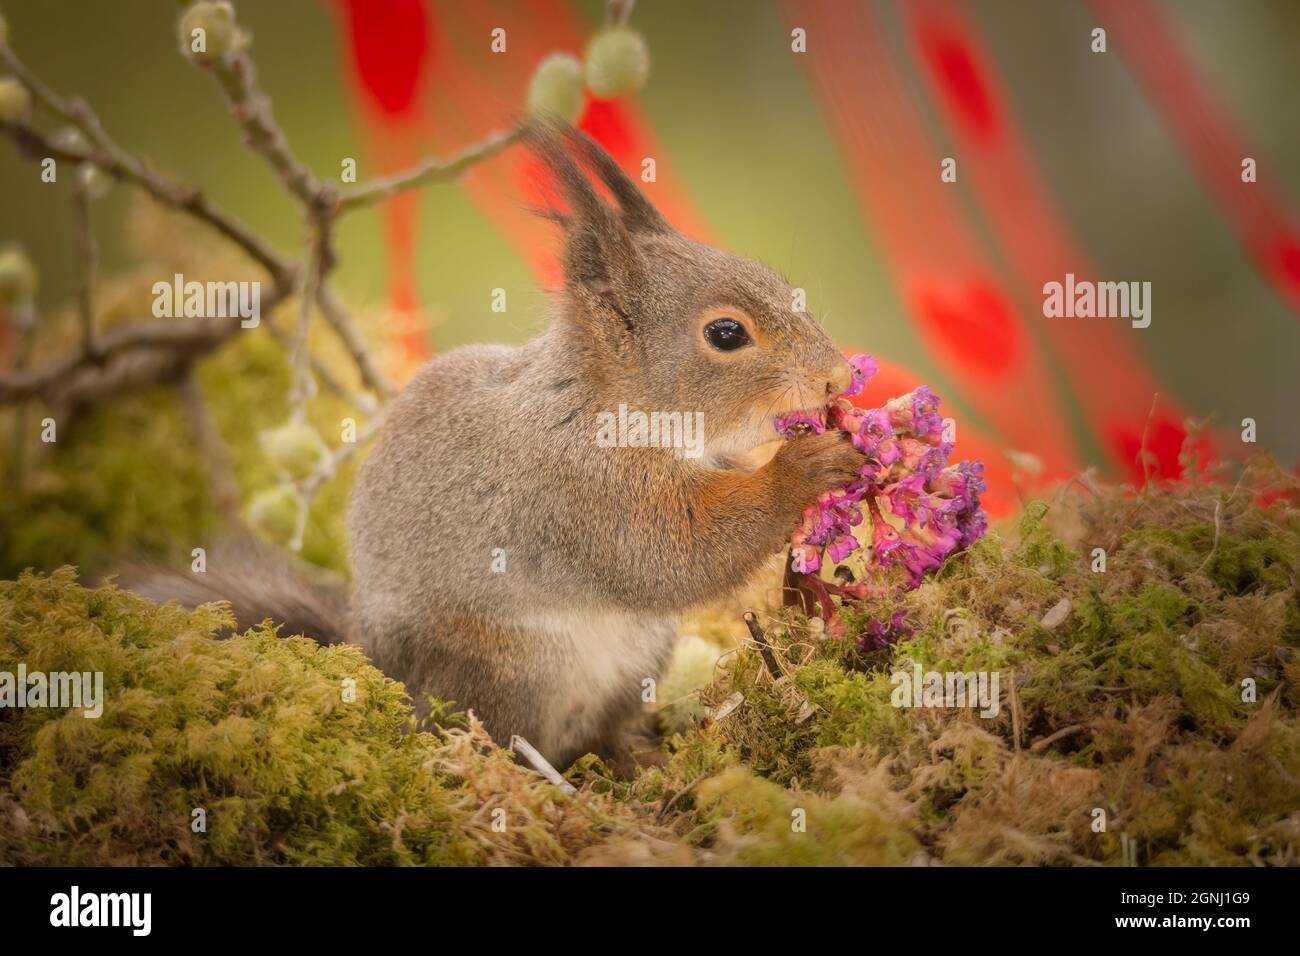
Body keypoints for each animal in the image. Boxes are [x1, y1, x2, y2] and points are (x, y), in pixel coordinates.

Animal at [124, 126, 864, 770]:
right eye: (727, 334)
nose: (834, 375)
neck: (614, 407)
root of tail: (386, 678)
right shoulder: (577, 488)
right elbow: (671, 555)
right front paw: (804, 467)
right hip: (506, 666)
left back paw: (633, 757)